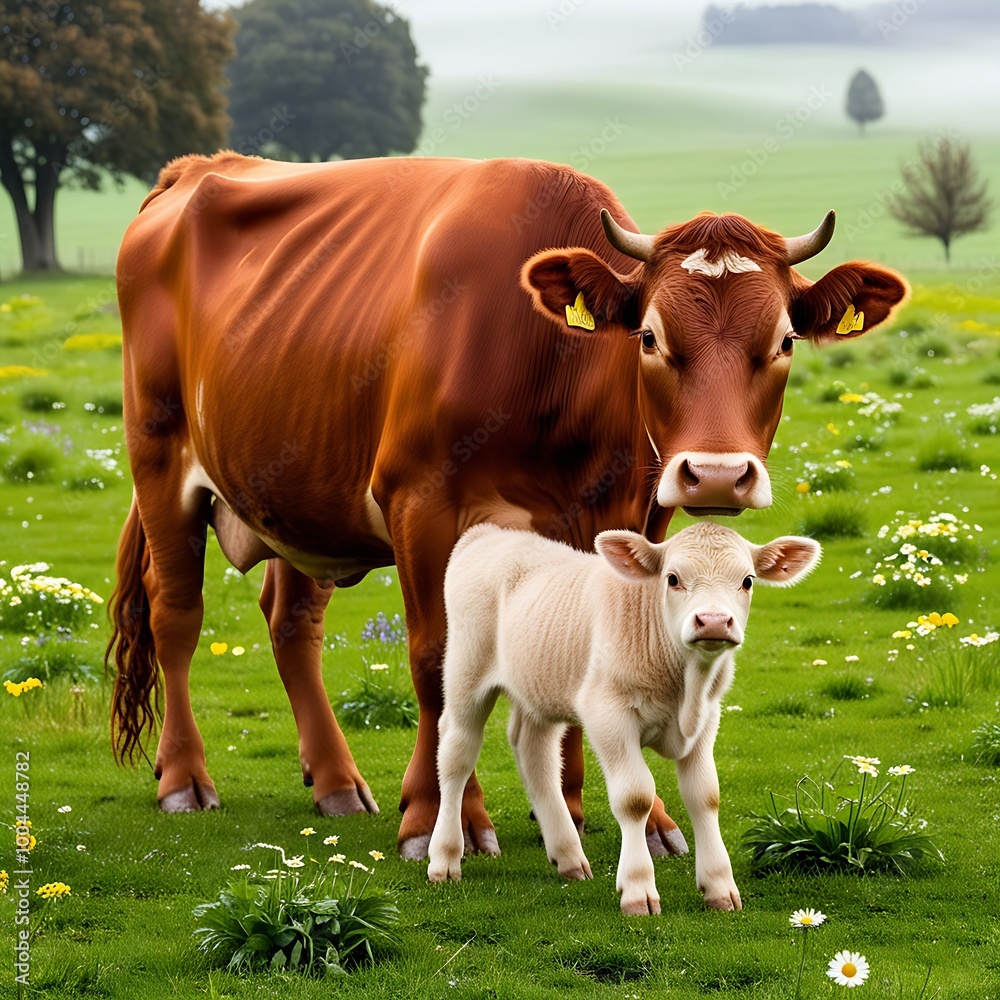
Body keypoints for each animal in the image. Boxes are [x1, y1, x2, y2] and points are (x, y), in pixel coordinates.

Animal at [106, 151, 907, 860]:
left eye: (785, 340)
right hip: (160, 457)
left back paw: (335, 782)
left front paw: (610, 816)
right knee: (176, 615)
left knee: (291, 622)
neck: (546, 369)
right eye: (649, 336)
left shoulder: (631, 513)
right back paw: (185, 780)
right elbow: (435, 660)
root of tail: (196, 169)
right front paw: (440, 819)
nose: (714, 476)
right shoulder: (421, 505)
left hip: (298, 487)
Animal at [427, 521, 821, 913]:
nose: (713, 621)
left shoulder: (707, 718)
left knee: (534, 752)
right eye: (672, 578)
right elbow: (635, 798)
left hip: (539, 684)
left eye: (748, 580)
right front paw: (638, 889)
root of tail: (489, 533)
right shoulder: (607, 714)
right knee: (457, 753)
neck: (685, 690)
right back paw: (444, 859)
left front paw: (720, 886)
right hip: (465, 671)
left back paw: (568, 857)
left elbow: (705, 795)